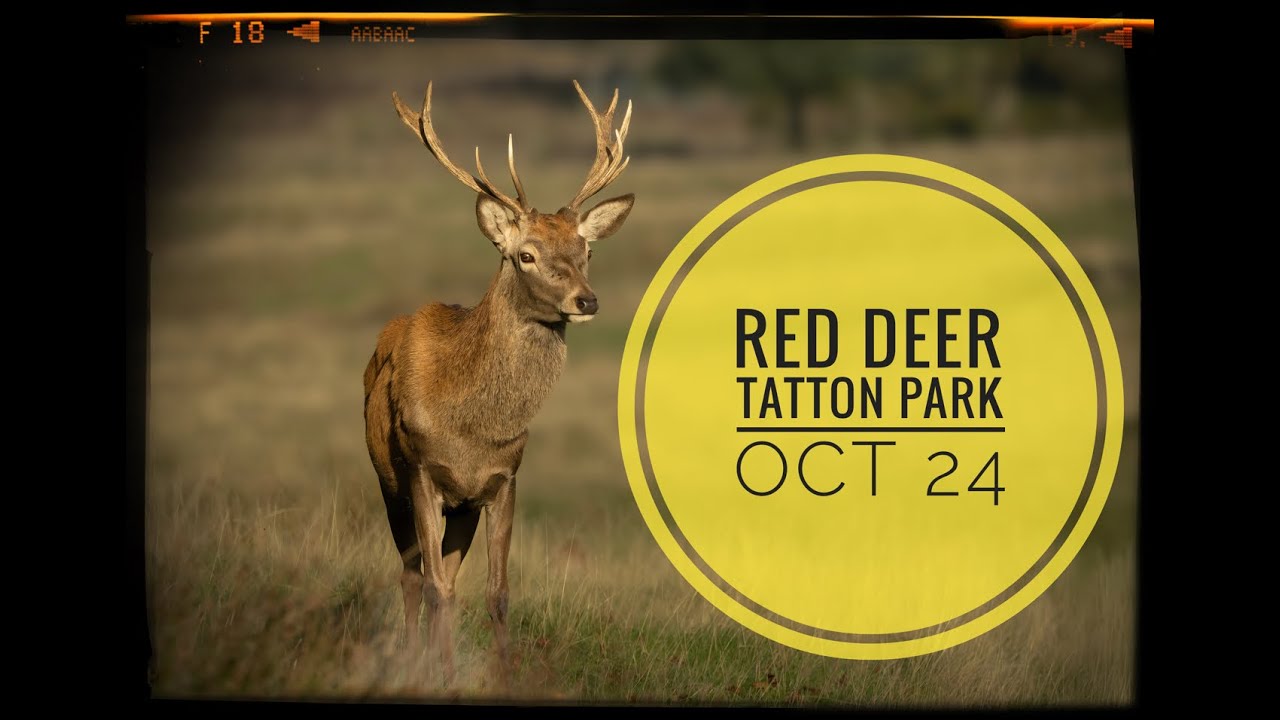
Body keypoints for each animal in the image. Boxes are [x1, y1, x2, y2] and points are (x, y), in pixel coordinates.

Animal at [363, 79, 634, 684]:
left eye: (587, 250)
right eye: (525, 254)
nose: (587, 300)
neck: (472, 428)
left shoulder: (502, 480)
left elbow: (497, 592)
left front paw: (501, 673)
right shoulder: (422, 471)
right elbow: (434, 587)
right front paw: (438, 674)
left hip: (461, 510)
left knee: (445, 576)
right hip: (388, 481)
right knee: (413, 576)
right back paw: (414, 658)